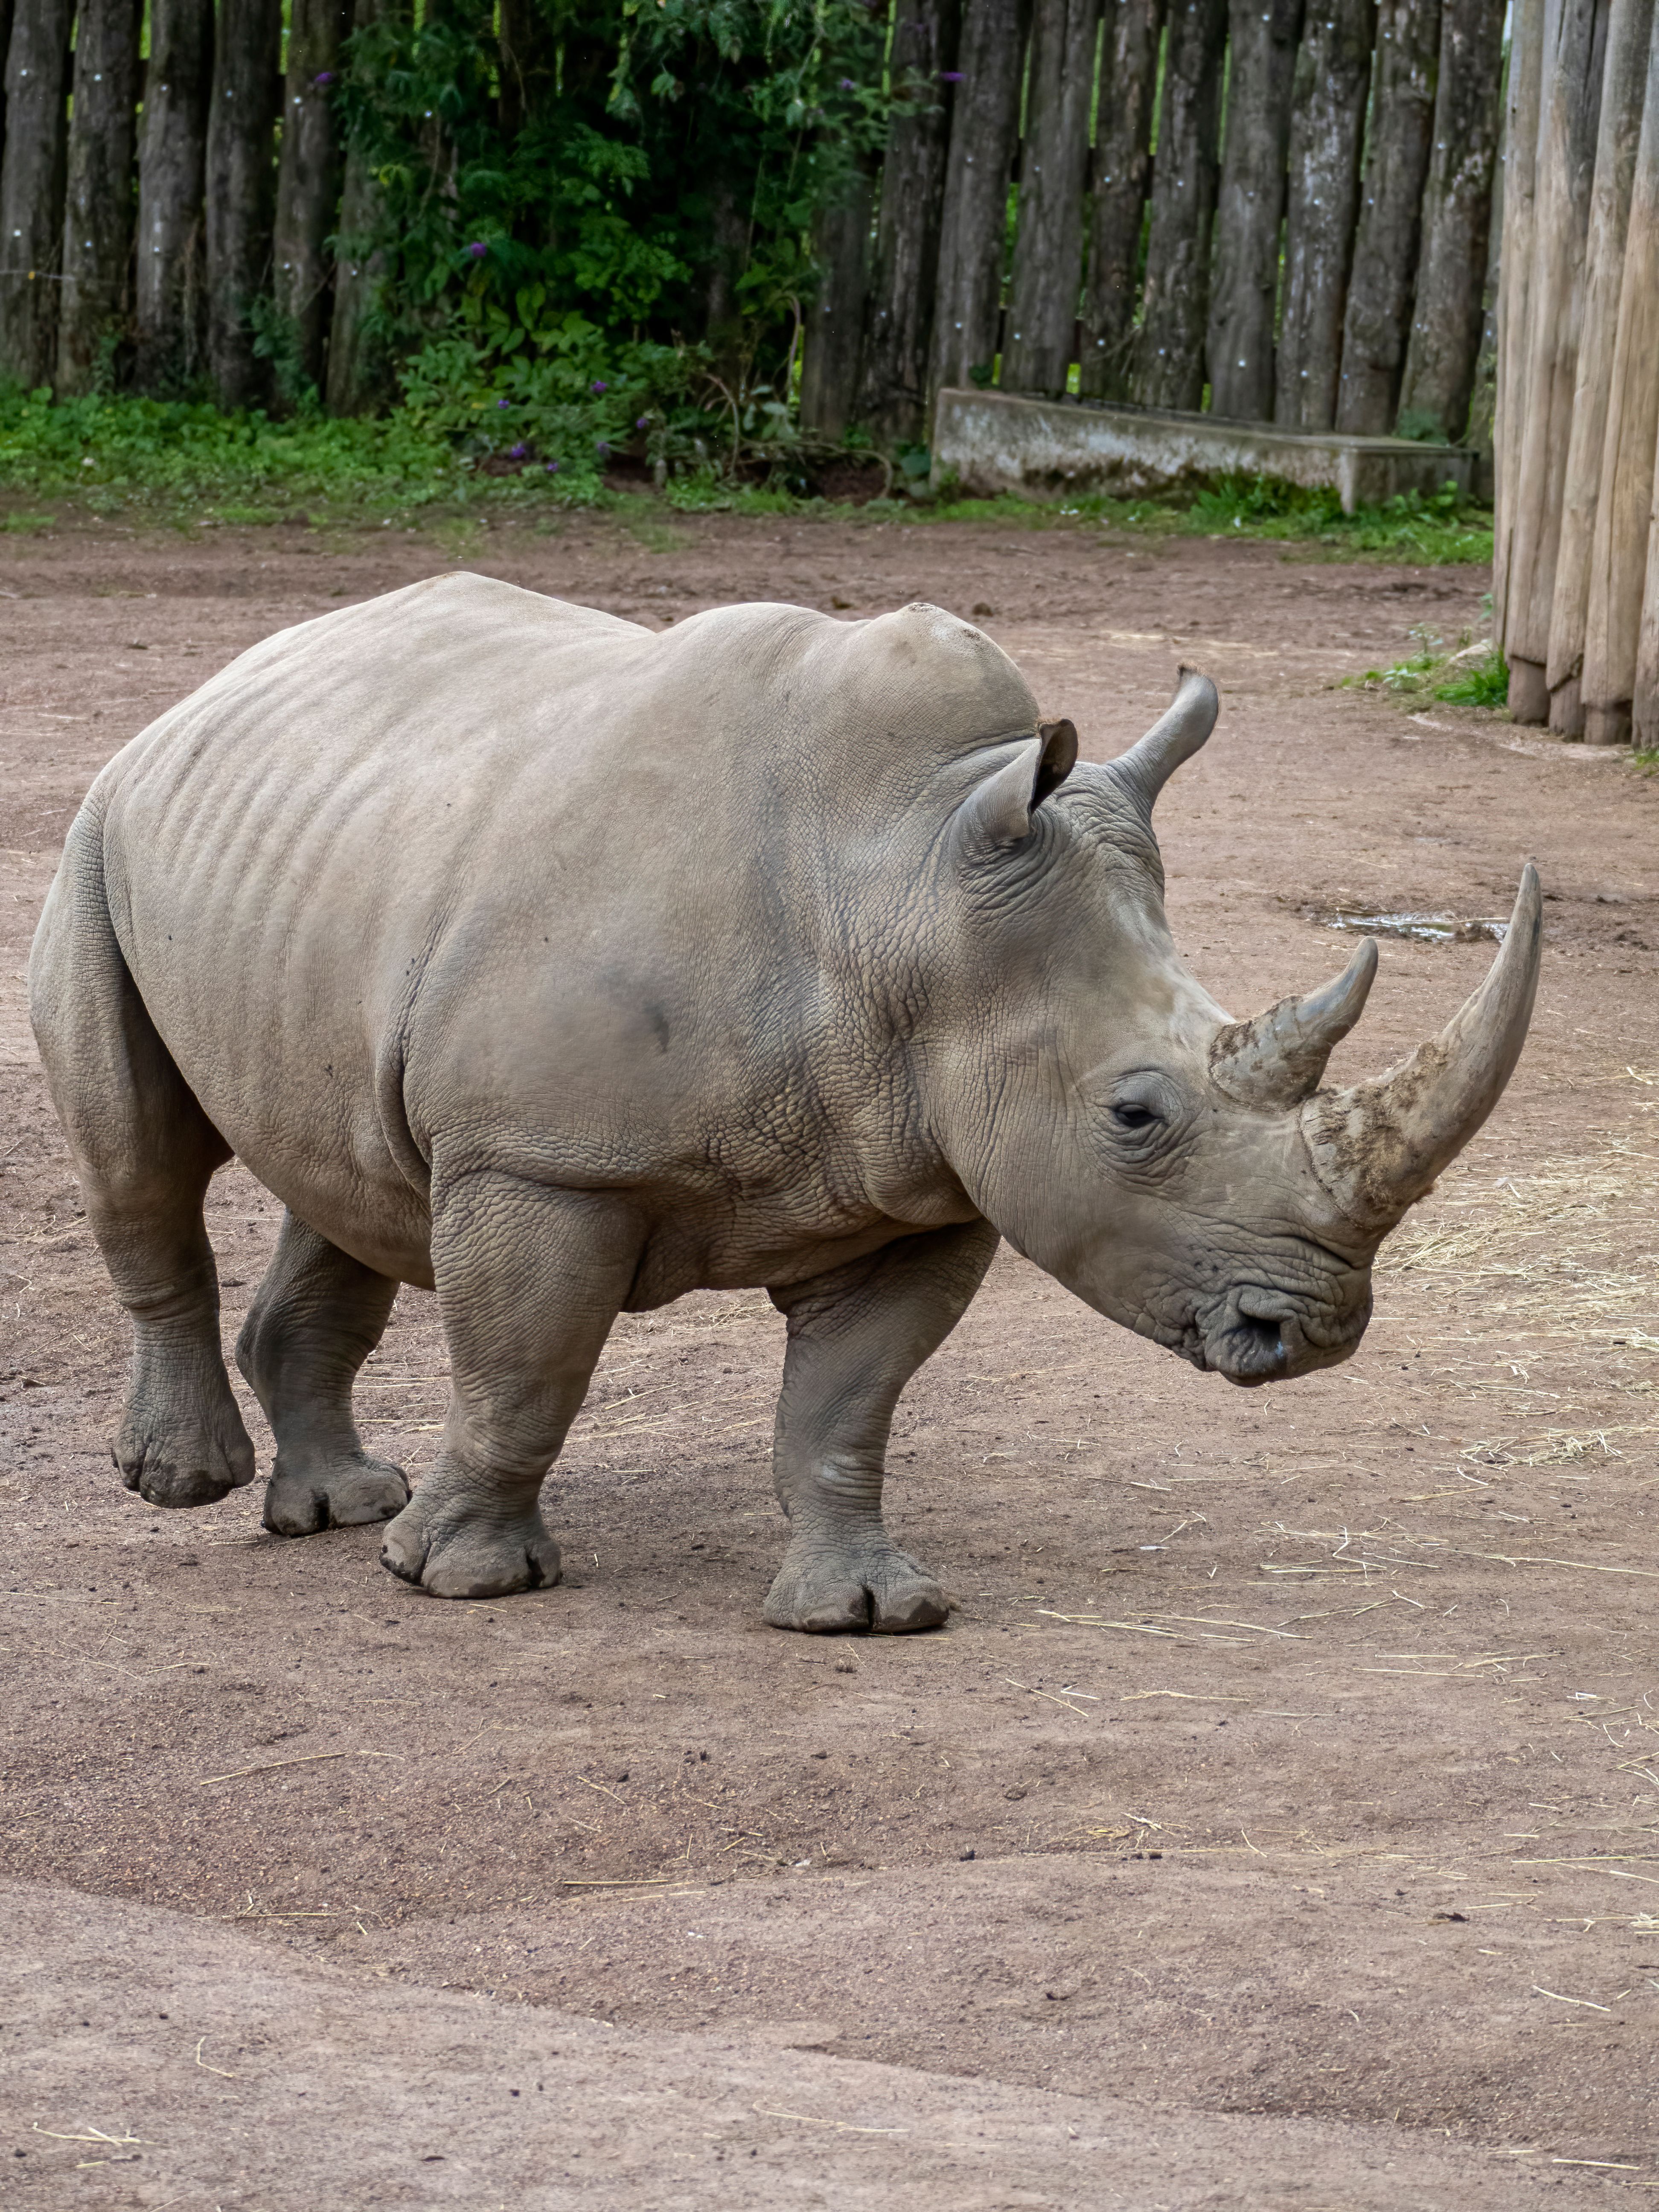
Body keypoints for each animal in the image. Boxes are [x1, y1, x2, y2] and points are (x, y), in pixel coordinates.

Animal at [29, 575, 1540, 1629]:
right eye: (1136, 1117)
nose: (1315, 1328)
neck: (907, 888)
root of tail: (221, 681)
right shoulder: (542, 1159)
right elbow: (524, 1369)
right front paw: (463, 1582)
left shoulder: (930, 1174)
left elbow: (845, 1405)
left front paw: (868, 1611)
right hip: (104, 833)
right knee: (146, 1157)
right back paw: (193, 1486)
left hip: (325, 855)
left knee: (351, 1180)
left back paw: (342, 1507)